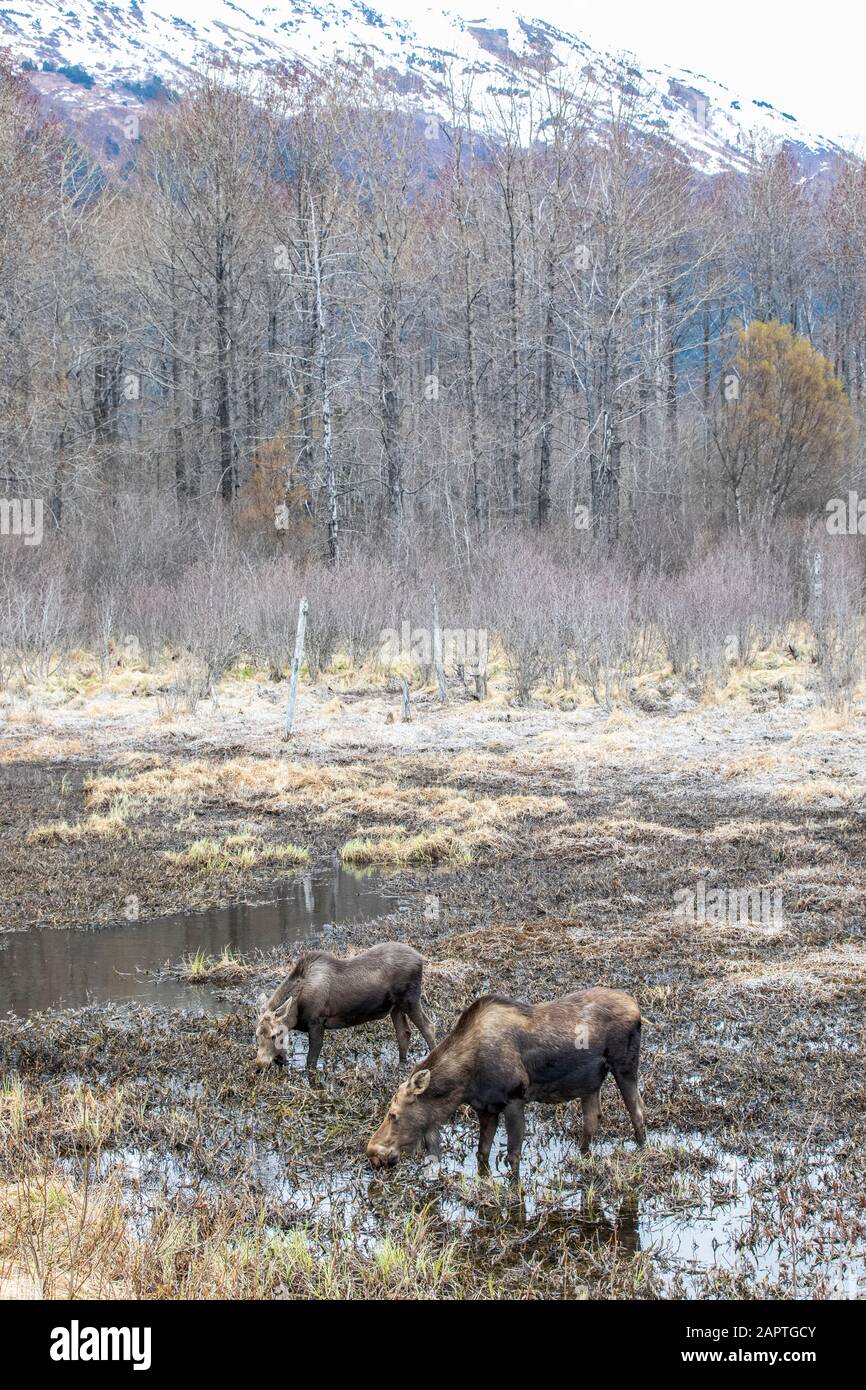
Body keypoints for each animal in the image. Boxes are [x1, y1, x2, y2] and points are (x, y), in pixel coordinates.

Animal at [254, 942, 435, 1084]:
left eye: (274, 1035)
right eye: (257, 1035)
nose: (259, 1066)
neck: (296, 1013)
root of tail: (420, 959)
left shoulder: (317, 1023)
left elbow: (310, 1062)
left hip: (410, 999)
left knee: (428, 1027)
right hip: (395, 1007)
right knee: (404, 1033)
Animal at [366, 988, 646, 1179]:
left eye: (393, 1114)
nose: (373, 1152)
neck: (463, 1083)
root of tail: (637, 1008)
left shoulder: (514, 1100)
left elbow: (512, 1156)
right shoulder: (485, 1108)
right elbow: (482, 1153)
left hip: (625, 1065)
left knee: (637, 1111)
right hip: (590, 1083)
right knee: (592, 1119)